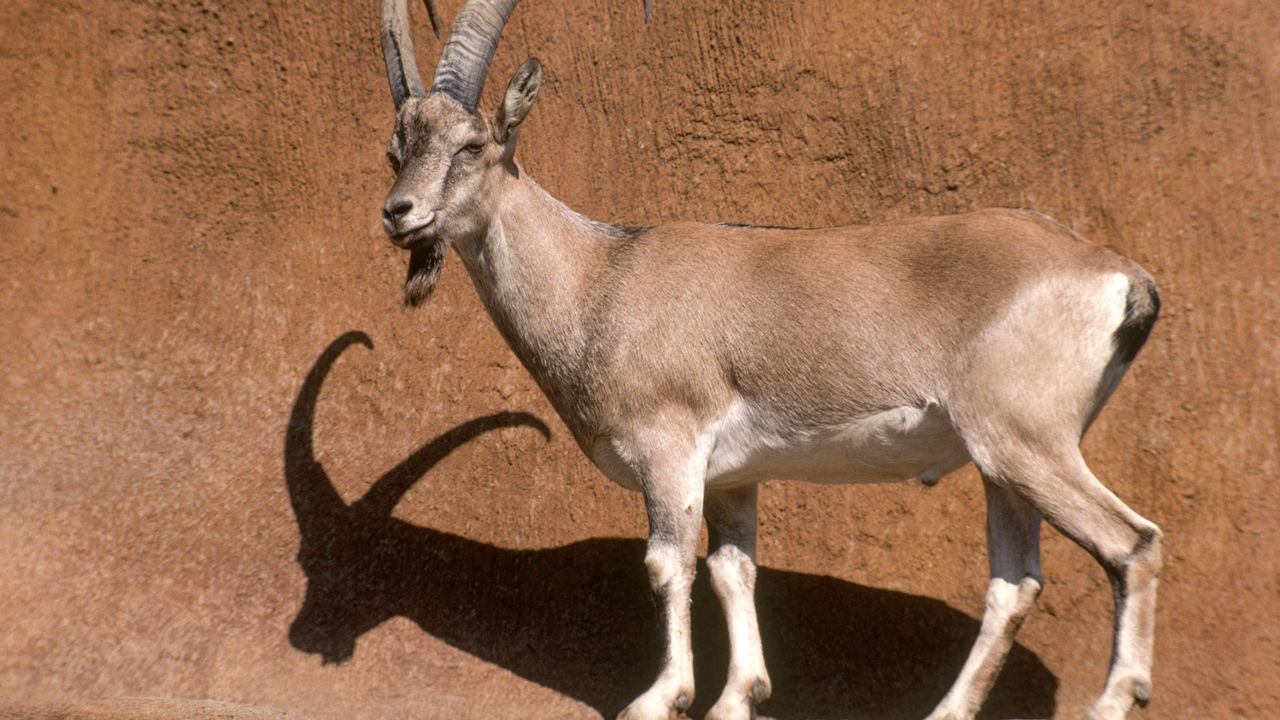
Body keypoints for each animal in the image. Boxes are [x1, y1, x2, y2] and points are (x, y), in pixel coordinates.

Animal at [372, 1, 1162, 718]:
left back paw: (1114, 698)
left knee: (1132, 543)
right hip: (1003, 465)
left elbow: (665, 562)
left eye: (472, 145)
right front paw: (739, 696)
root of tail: (1118, 275)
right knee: (1014, 584)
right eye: (395, 149)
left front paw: (663, 696)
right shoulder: (731, 476)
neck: (600, 277)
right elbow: (731, 569)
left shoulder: (669, 447)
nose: (399, 213)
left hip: (1028, 442)